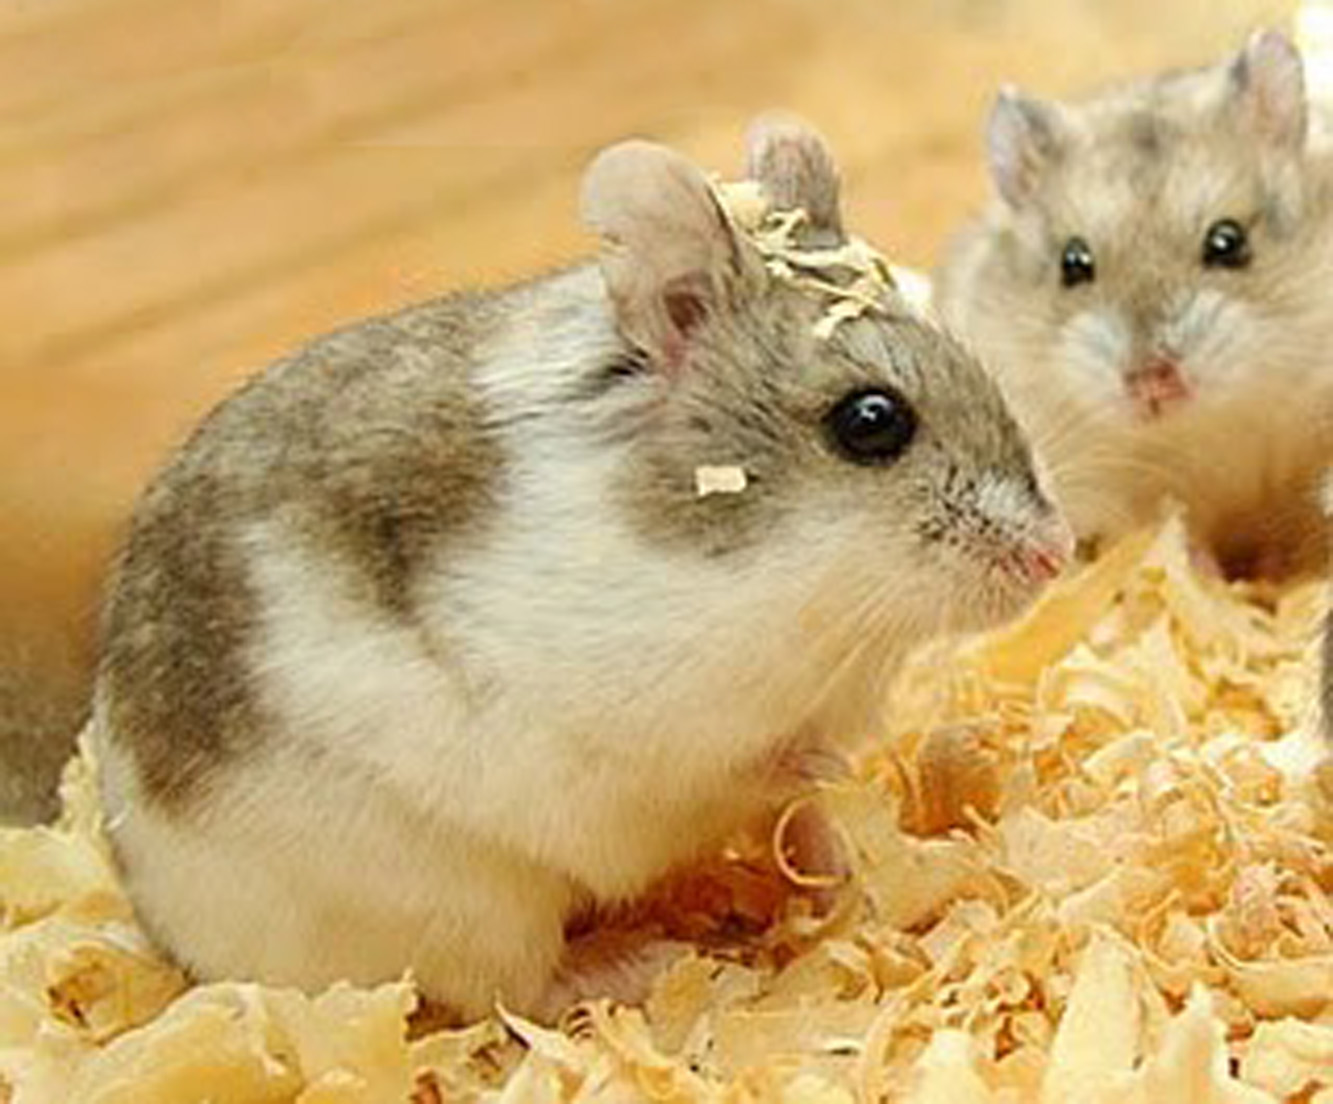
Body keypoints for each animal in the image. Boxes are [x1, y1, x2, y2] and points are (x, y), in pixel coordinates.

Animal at [90, 116, 1070, 1021]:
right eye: (870, 421)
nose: (1053, 556)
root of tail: (169, 934)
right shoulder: (656, 733)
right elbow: (758, 768)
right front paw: (829, 772)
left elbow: (796, 817)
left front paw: (846, 869)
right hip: (456, 900)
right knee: (517, 991)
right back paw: (651, 958)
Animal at [936, 29, 1333, 579]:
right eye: (1073, 263)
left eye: (1228, 241)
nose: (1152, 383)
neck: (1205, 426)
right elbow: (1159, 528)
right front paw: (1203, 572)